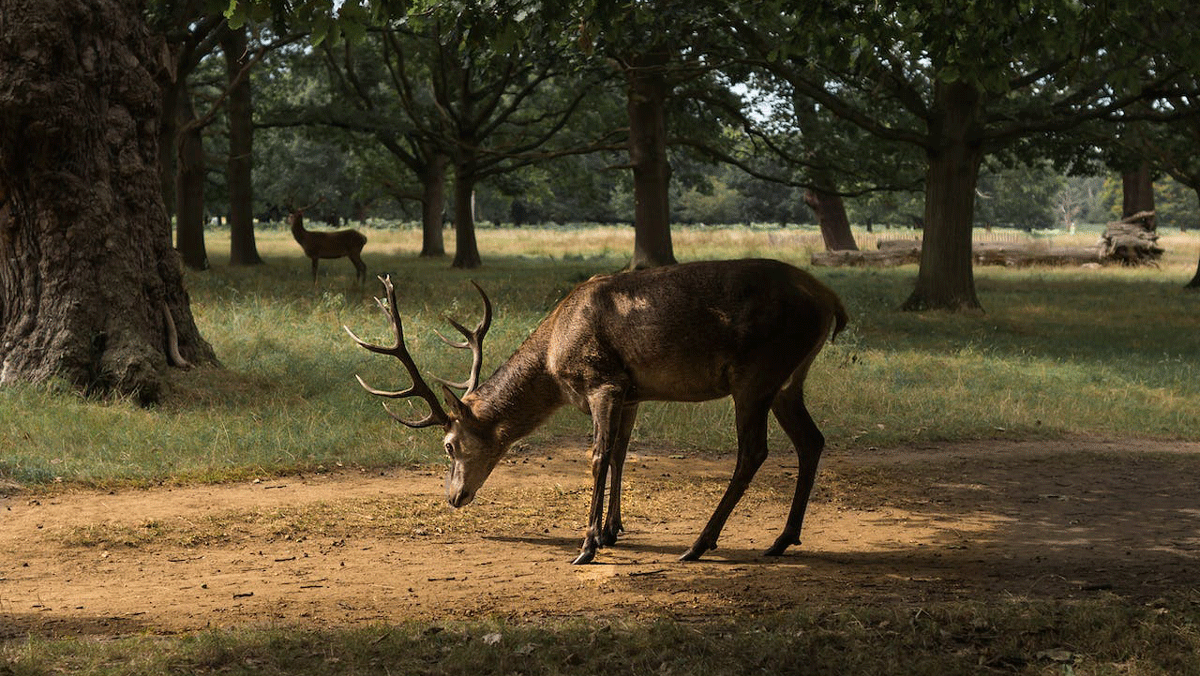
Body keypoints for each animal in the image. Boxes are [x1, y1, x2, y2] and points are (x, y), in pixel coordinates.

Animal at [345, 258, 848, 565]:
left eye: (449, 445)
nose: (453, 498)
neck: (553, 359)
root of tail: (831, 300)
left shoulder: (602, 381)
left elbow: (598, 457)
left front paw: (587, 544)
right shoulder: (631, 393)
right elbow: (622, 453)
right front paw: (611, 530)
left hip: (757, 373)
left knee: (754, 451)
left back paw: (700, 544)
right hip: (789, 380)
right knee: (812, 440)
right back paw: (782, 539)